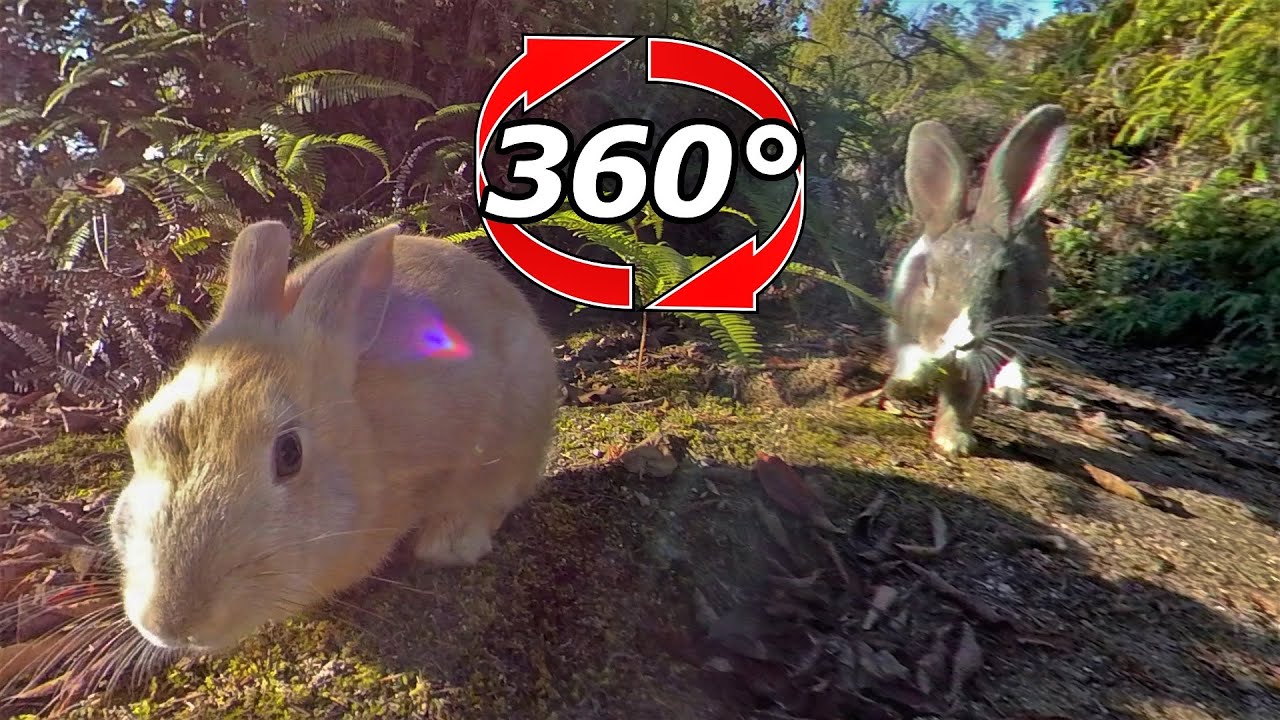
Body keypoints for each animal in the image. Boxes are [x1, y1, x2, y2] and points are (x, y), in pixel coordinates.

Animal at [883, 104, 1069, 457]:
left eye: (1001, 276)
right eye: (929, 275)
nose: (961, 341)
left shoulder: (987, 352)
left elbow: (962, 399)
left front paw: (953, 443)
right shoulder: (904, 330)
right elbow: (910, 360)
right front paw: (904, 386)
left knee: (1018, 356)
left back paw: (1012, 390)